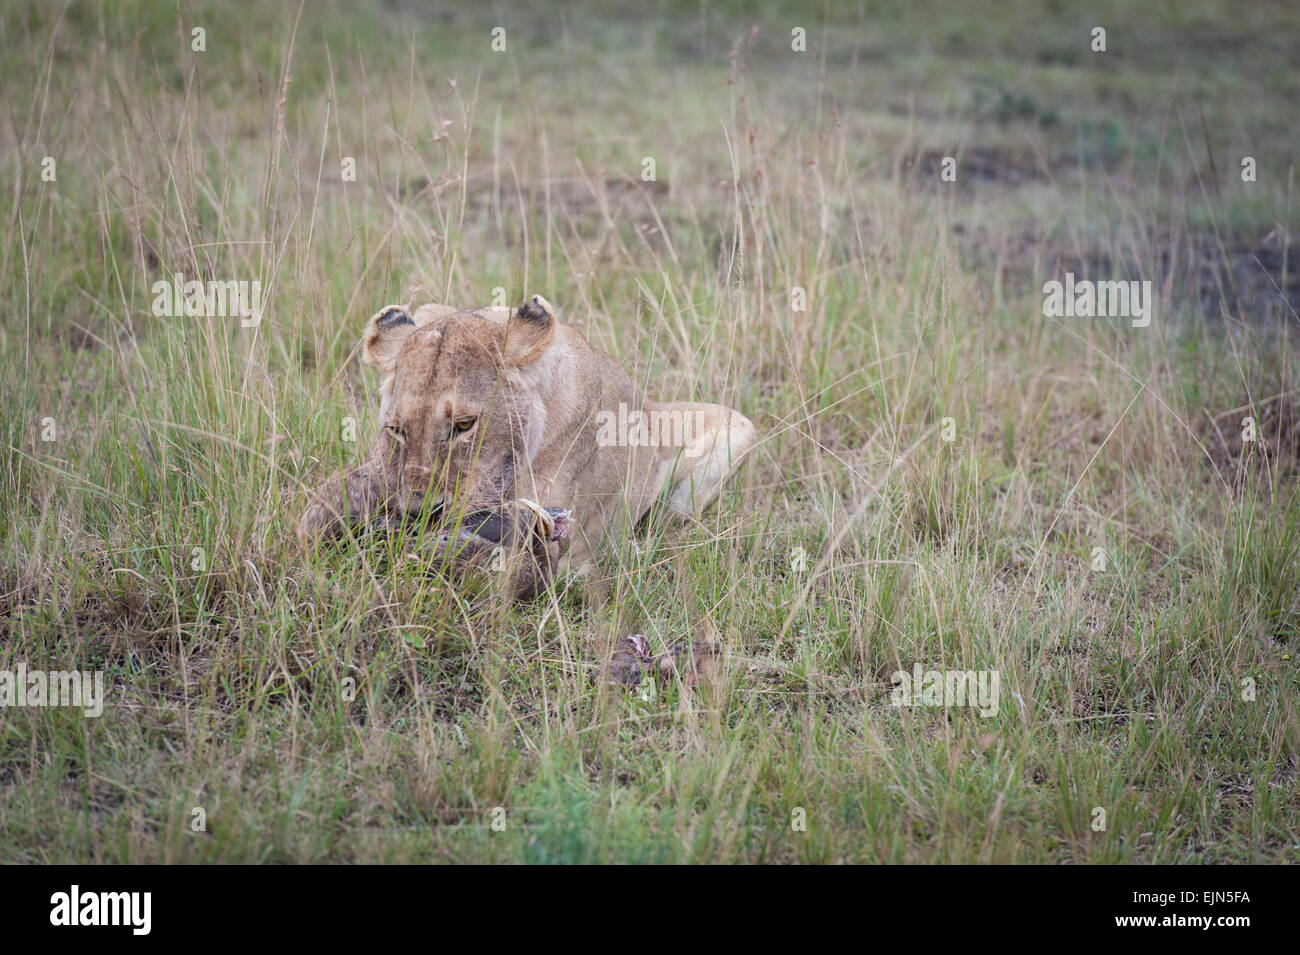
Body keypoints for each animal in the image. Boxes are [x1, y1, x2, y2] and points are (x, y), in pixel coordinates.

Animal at [297, 295, 757, 599]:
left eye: (464, 425)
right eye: (396, 429)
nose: (417, 514)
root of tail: (646, 401)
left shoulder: (547, 531)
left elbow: (505, 566)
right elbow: (319, 508)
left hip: (738, 428)